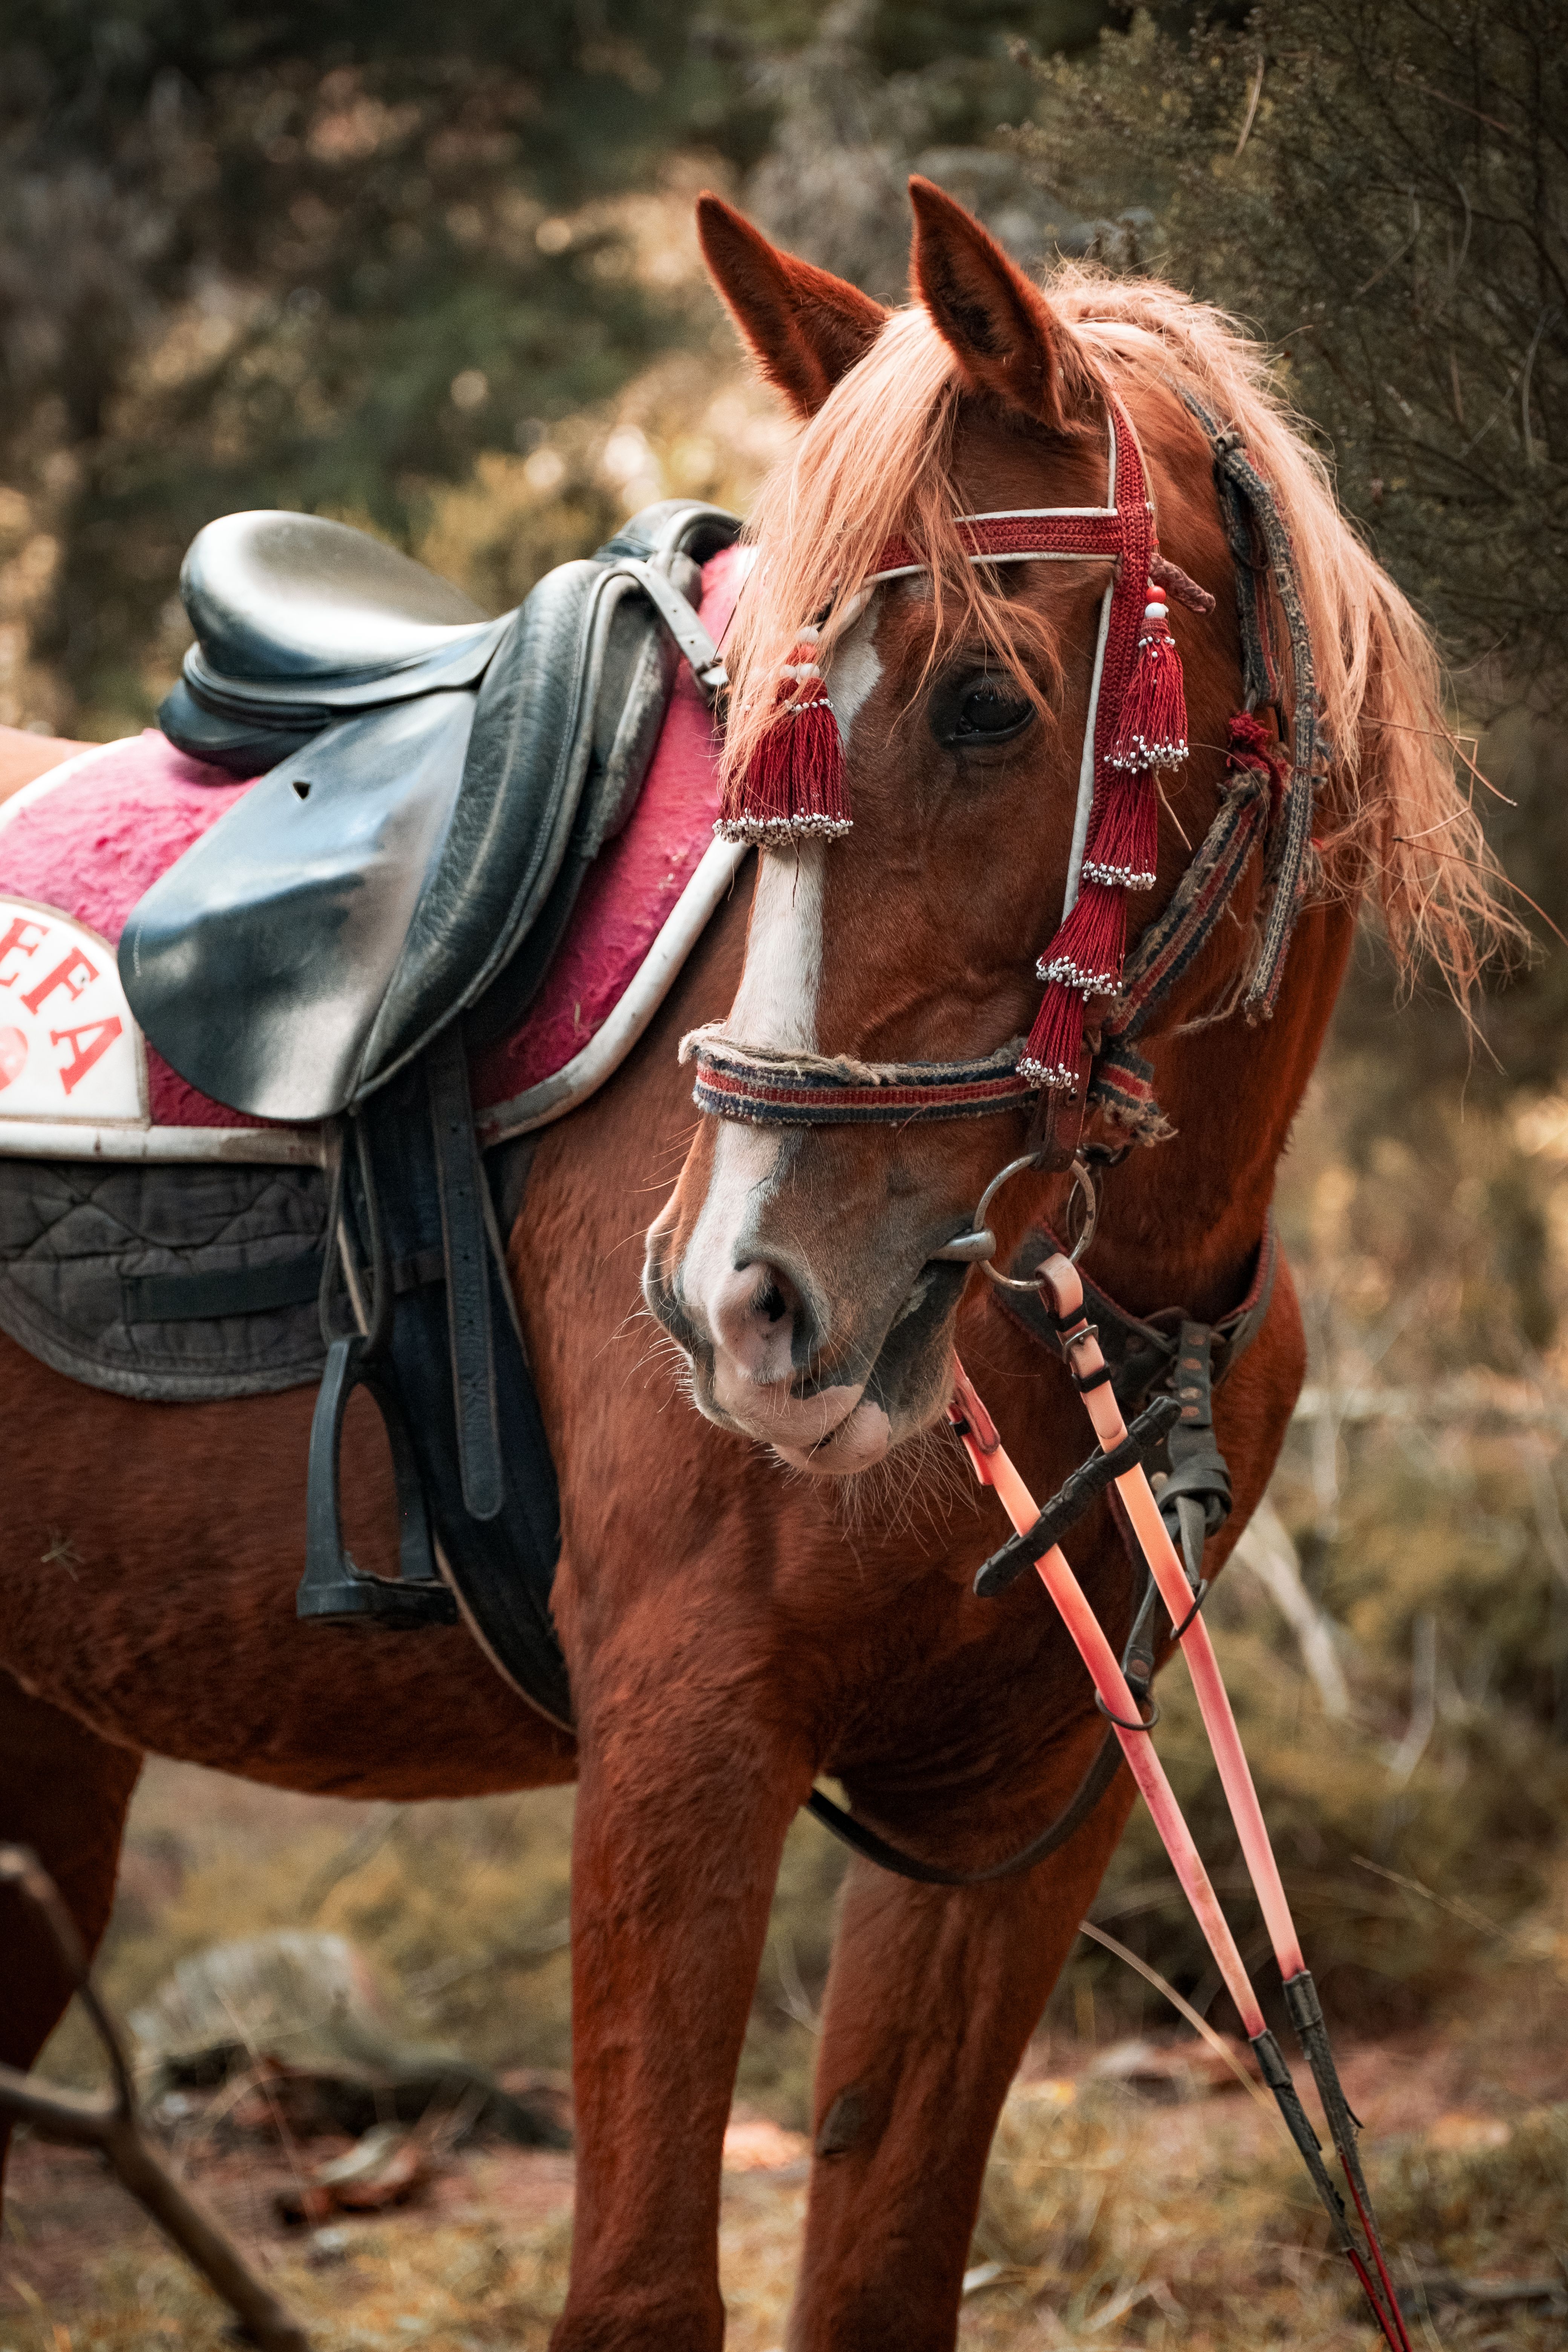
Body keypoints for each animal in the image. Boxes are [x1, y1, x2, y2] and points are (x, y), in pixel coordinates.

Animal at [0, 179, 1501, 2349]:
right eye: (752, 730)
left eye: (986, 699)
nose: (742, 1305)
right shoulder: (682, 1741)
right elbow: (640, 2290)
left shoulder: (1009, 1810)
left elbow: (880, 2269)